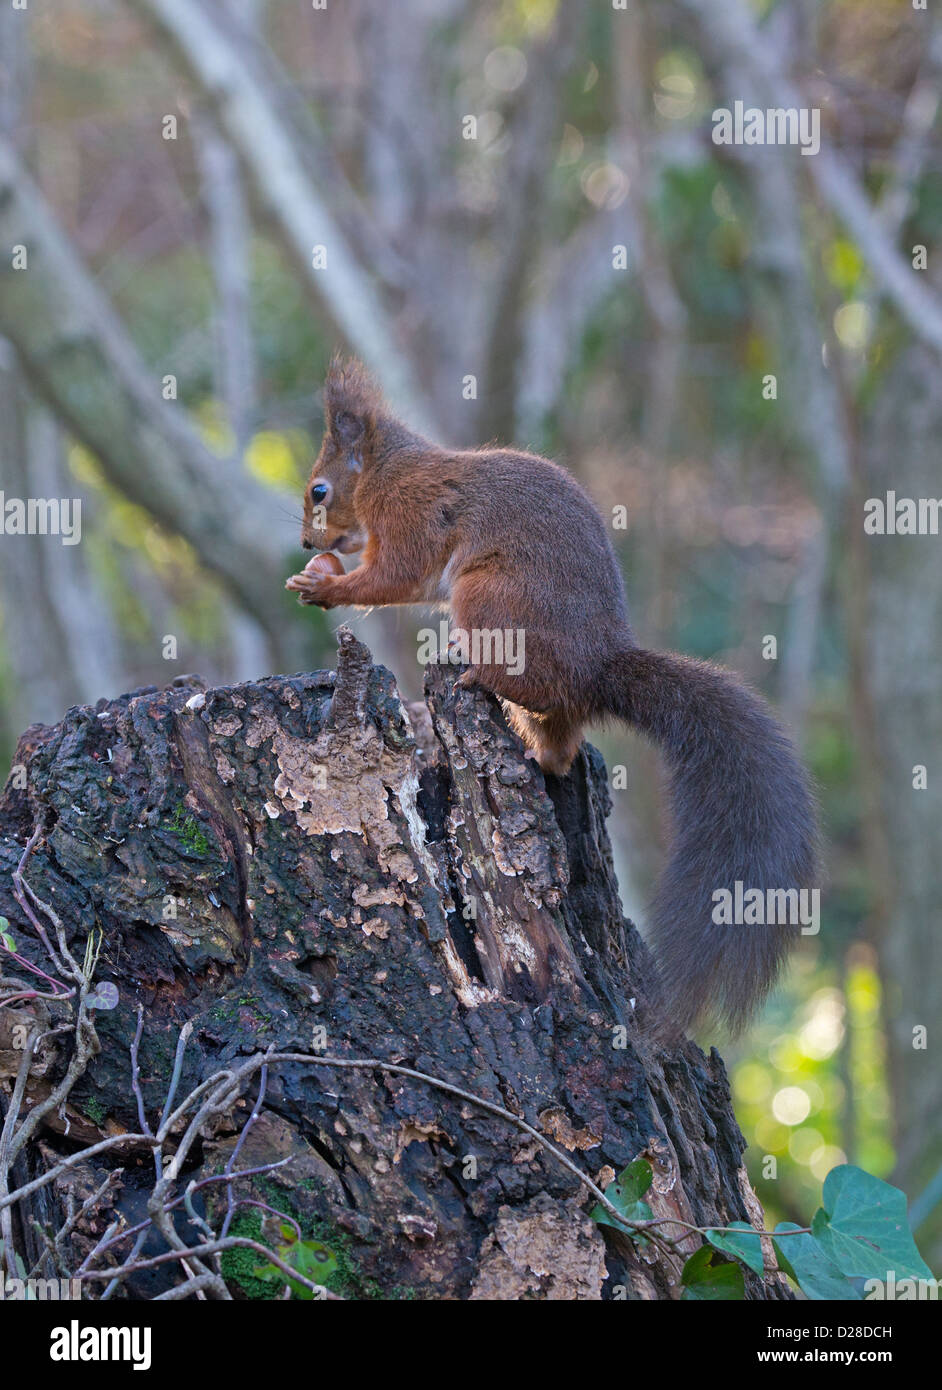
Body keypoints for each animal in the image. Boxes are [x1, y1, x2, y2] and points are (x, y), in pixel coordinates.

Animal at [286, 358, 819, 1034]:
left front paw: (327, 588)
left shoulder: (412, 514)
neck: (387, 470)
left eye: (319, 491)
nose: (308, 545)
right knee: (562, 742)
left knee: (523, 683)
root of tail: (598, 665)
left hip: (491, 600)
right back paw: (541, 753)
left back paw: (477, 675)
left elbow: (394, 576)